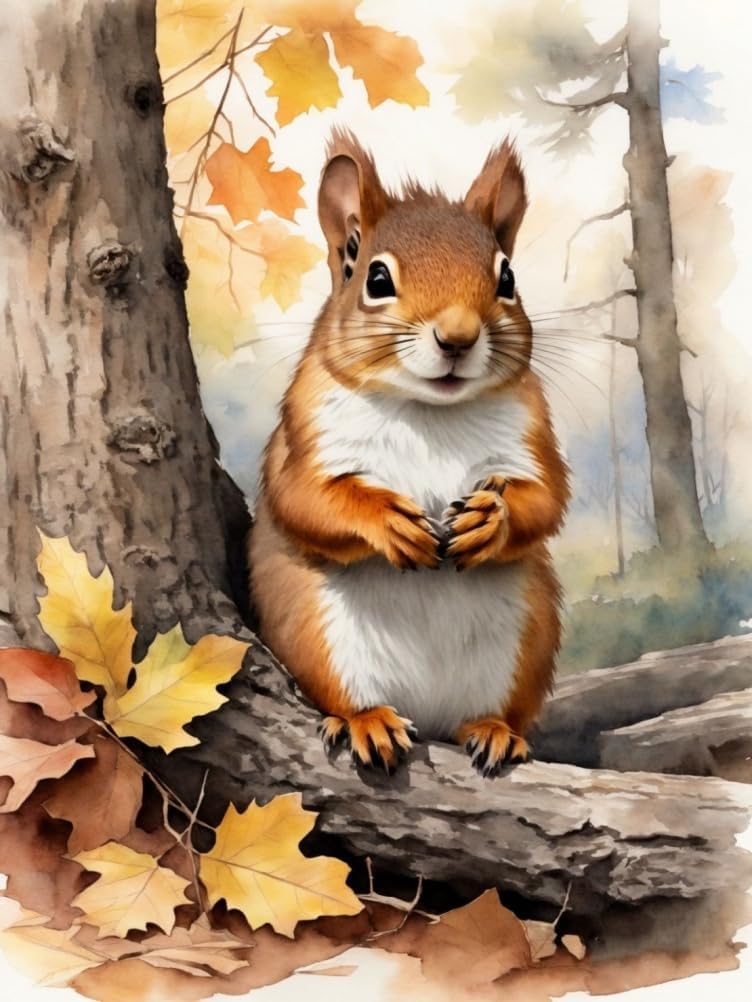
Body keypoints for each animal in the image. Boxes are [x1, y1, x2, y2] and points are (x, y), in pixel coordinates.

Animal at [249, 129, 570, 778]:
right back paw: (366, 720)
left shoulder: (533, 432)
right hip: (317, 632)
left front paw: (491, 518)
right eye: (376, 279)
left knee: (494, 711)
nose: (458, 337)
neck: (430, 412)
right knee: (347, 695)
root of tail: (429, 714)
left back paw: (494, 730)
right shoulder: (301, 436)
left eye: (507, 278)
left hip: (528, 640)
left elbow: (547, 499)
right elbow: (304, 500)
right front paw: (386, 519)